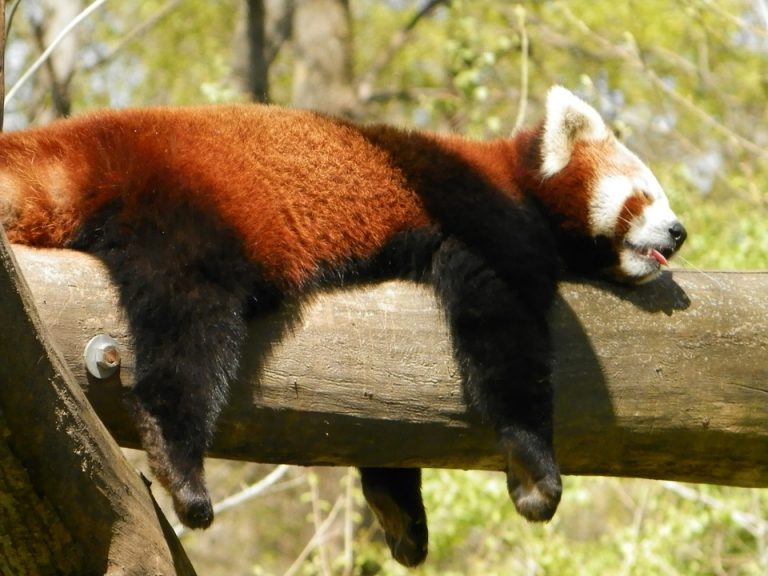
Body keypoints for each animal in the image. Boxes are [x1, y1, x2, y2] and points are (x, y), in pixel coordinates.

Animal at [0, 86, 686, 566]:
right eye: (646, 195)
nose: (680, 232)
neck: (514, 179)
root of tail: (94, 135)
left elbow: (383, 426)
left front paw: (398, 509)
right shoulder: (487, 220)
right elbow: (507, 341)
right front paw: (535, 471)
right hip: (190, 213)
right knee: (188, 333)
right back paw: (181, 466)